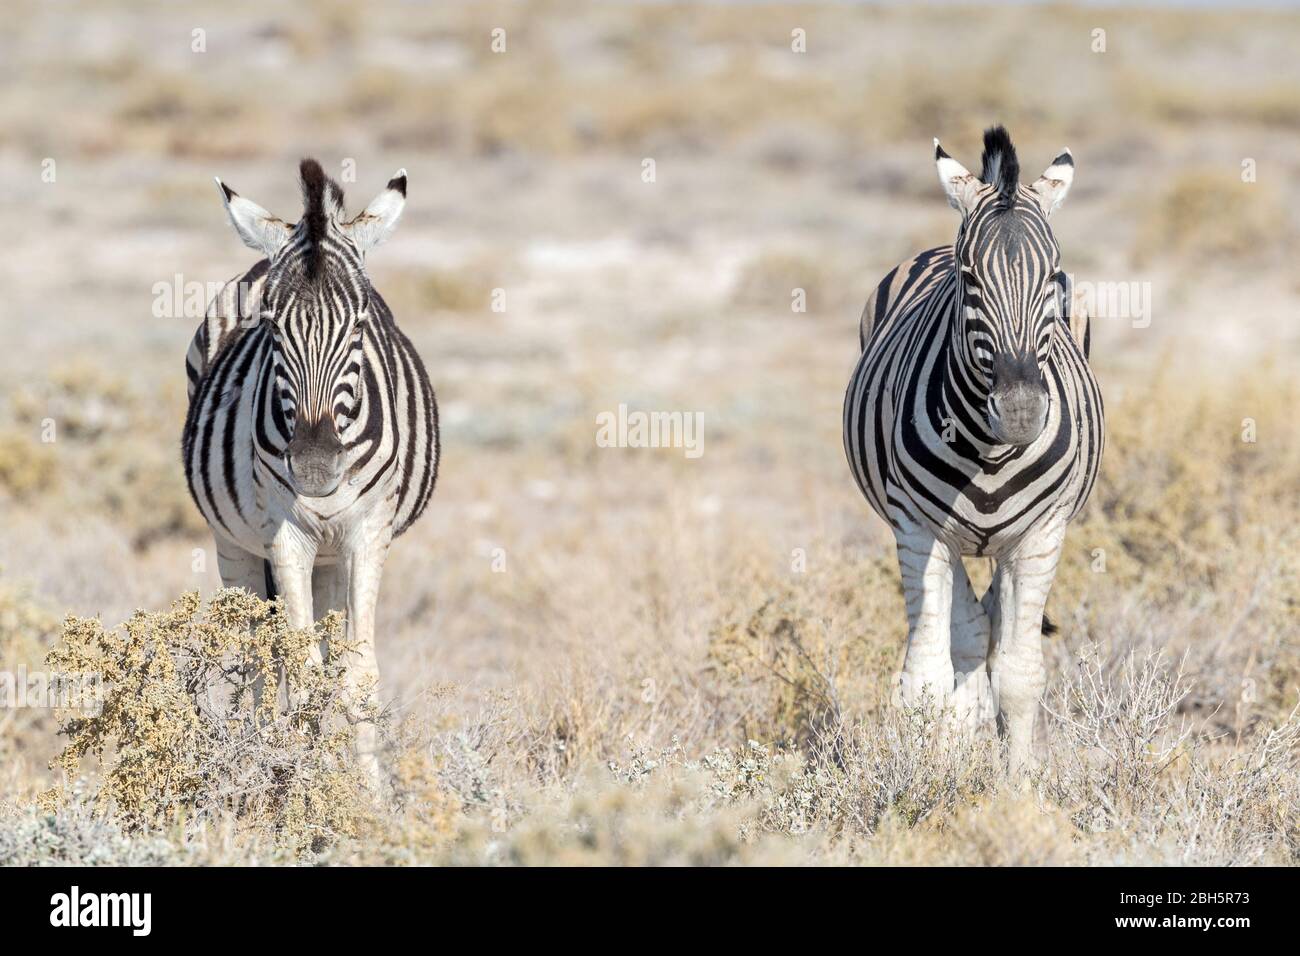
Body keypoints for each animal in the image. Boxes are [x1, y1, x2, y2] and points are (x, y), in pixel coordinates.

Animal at [182, 158, 439, 788]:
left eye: (361, 325)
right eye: (273, 329)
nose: (316, 466)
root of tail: (256, 258)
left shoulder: (367, 534)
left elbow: (356, 674)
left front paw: (366, 796)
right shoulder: (285, 537)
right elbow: (296, 672)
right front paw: (299, 790)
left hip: (330, 556)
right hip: (234, 543)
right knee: (257, 657)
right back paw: (252, 761)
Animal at [842, 127, 1103, 769]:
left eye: (1054, 276)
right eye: (968, 277)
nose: (1020, 411)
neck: (990, 452)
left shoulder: (1041, 536)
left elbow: (1019, 674)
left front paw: (1019, 786)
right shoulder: (916, 528)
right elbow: (927, 678)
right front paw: (930, 779)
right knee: (965, 632)